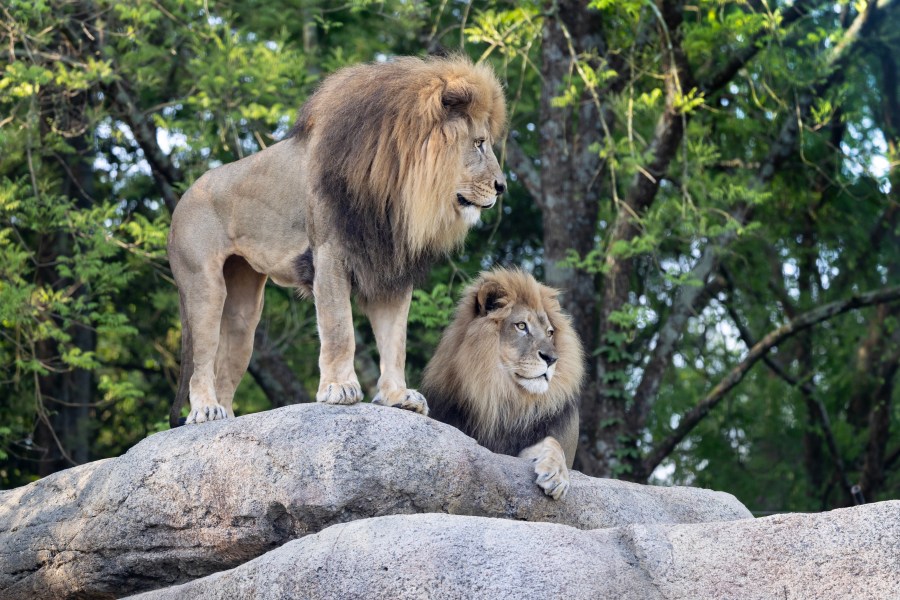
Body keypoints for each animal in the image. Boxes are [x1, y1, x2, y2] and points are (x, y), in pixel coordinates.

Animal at [168, 56, 507, 427]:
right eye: (478, 143)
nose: (502, 186)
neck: (397, 182)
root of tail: (184, 196)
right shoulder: (329, 257)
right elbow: (339, 328)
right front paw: (339, 387)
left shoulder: (390, 269)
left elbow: (395, 341)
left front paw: (398, 396)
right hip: (205, 287)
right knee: (202, 361)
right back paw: (205, 410)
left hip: (245, 312)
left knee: (226, 367)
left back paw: (226, 419)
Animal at [421, 268, 585, 499]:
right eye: (521, 326)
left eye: (550, 332)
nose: (552, 359)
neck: (506, 398)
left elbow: (553, 443)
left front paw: (556, 475)